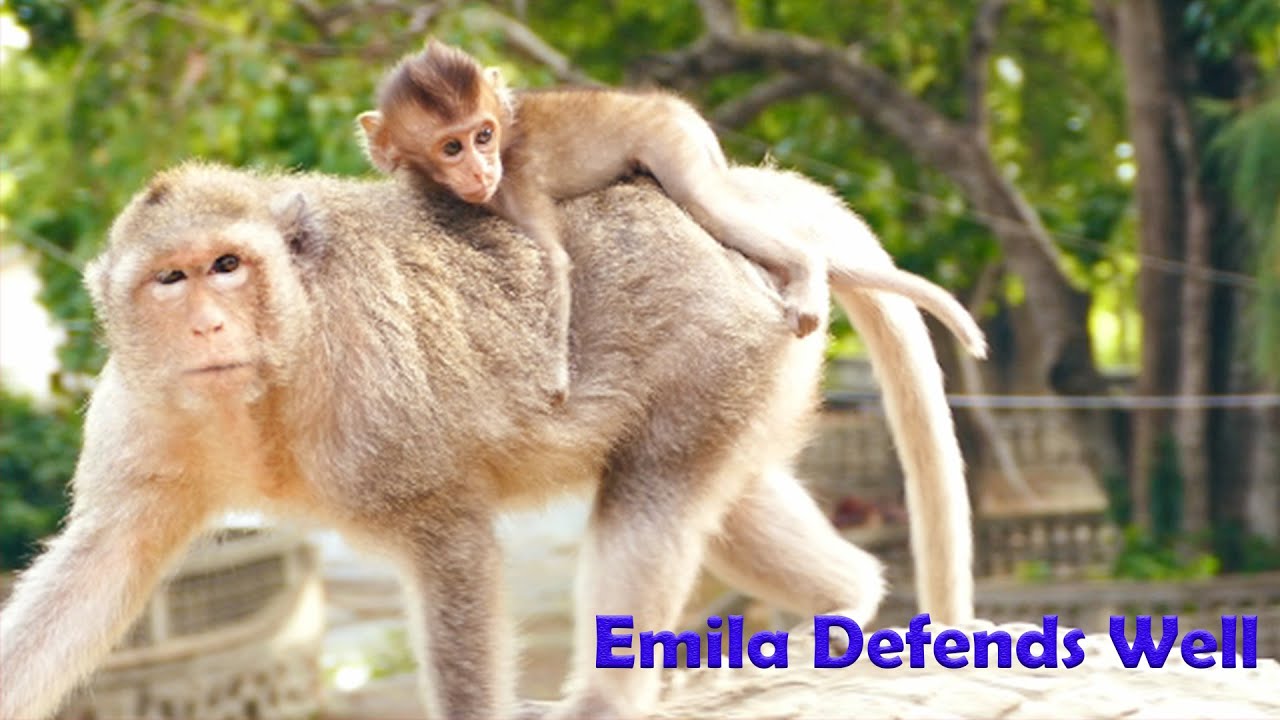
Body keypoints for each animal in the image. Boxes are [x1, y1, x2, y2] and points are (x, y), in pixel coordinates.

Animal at [0, 161, 973, 720]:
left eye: (228, 267)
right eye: (172, 279)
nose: (205, 323)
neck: (269, 382)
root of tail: (748, 201)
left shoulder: (379, 402)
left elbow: (452, 543)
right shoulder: (141, 417)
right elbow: (99, 568)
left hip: (722, 335)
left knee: (651, 502)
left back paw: (606, 700)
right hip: (752, 359)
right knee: (728, 509)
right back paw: (846, 602)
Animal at [356, 41, 987, 404]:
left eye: (484, 135)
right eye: (452, 146)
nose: (481, 167)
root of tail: (673, 107)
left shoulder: (516, 186)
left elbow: (554, 263)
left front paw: (555, 378)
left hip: (671, 143)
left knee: (706, 203)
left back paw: (805, 273)